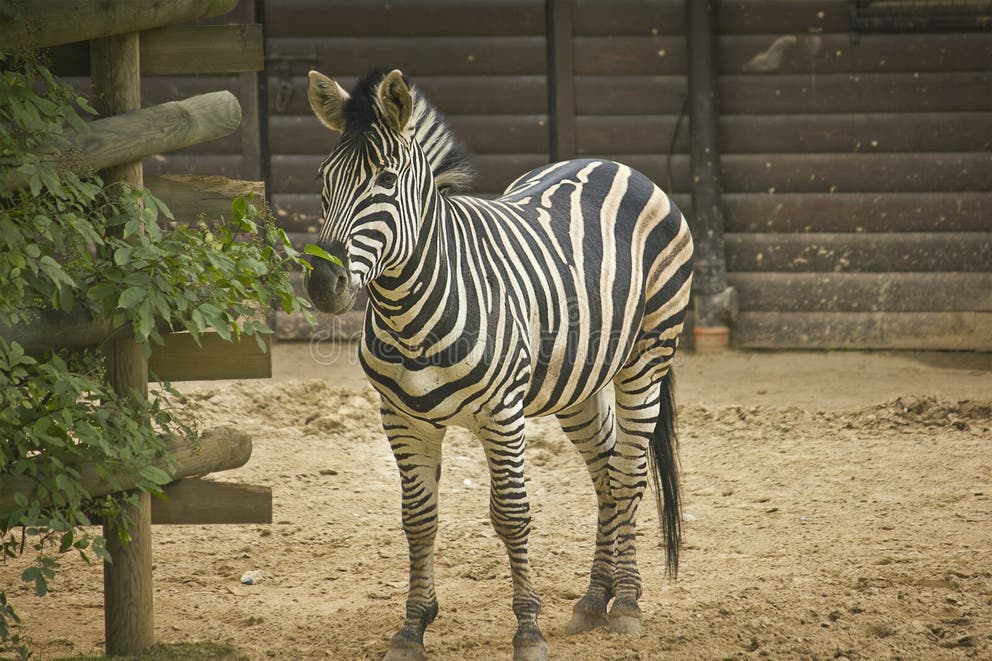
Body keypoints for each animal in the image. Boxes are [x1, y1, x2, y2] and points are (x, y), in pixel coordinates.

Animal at [305, 68, 694, 661]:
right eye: (324, 179)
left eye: (387, 181)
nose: (323, 285)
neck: (409, 313)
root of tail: (614, 164)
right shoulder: (401, 417)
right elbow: (418, 520)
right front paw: (412, 628)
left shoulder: (501, 414)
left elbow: (511, 516)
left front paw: (528, 631)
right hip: (576, 382)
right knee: (605, 473)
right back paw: (593, 599)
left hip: (645, 359)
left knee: (628, 473)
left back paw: (626, 603)